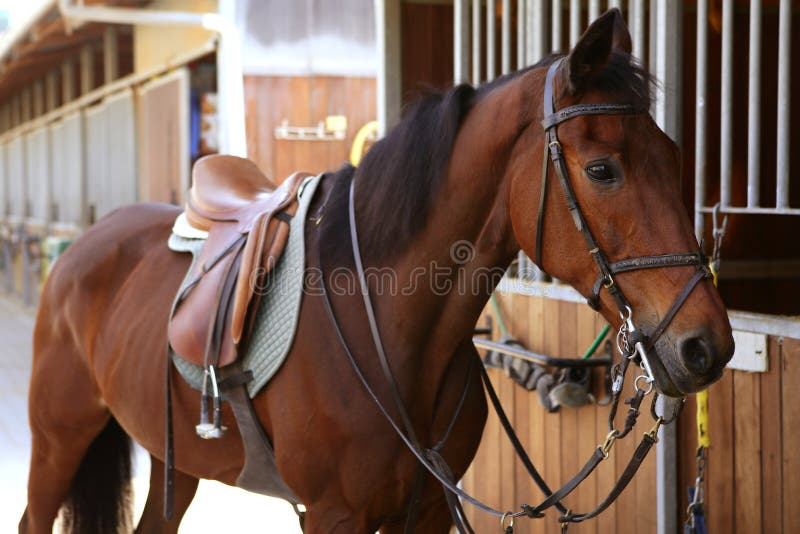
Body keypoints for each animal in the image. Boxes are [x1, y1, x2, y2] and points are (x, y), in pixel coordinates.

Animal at [20, 10, 733, 534]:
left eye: (674, 157)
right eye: (602, 169)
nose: (707, 346)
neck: (389, 328)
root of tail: (84, 246)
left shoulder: (428, 512)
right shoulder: (334, 516)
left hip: (175, 460)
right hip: (57, 441)